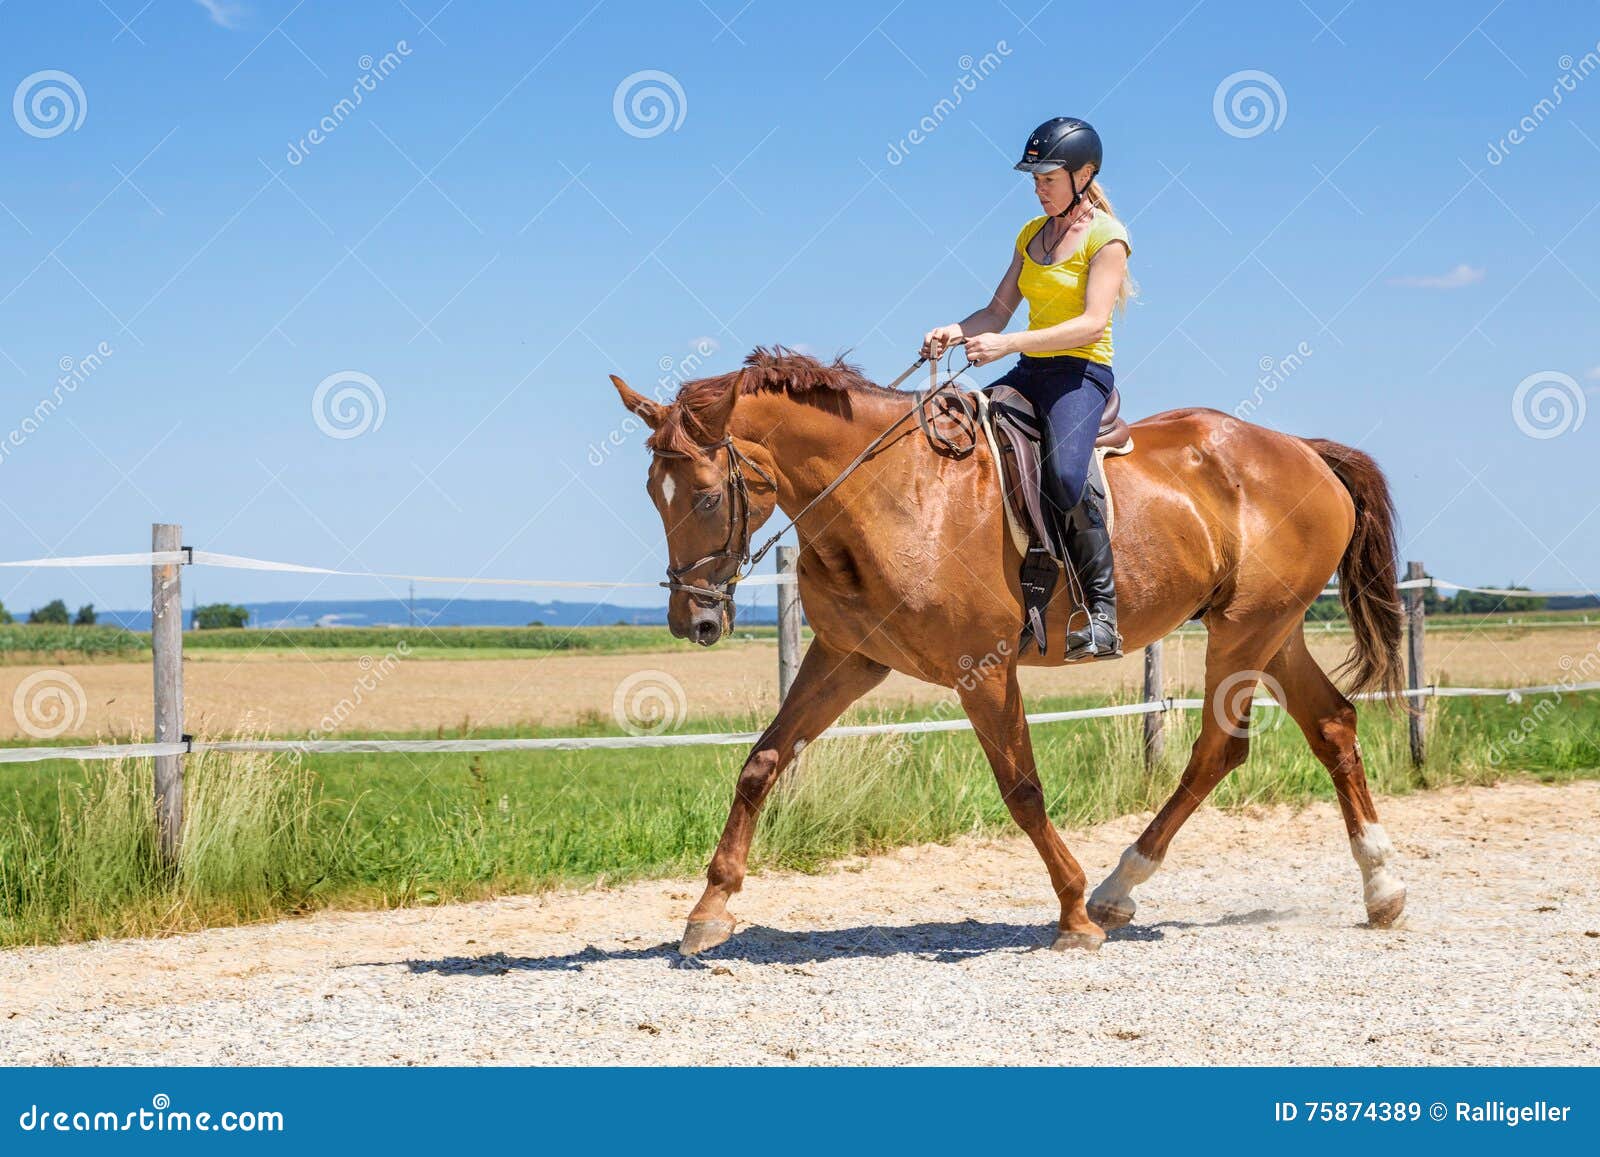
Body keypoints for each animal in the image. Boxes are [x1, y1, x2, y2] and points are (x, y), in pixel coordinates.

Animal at [610, 347, 1408, 955]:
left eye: (706, 497)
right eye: (652, 492)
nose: (692, 620)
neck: (889, 493)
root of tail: (1304, 451)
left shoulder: (984, 670)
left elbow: (1022, 789)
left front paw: (1075, 915)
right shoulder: (846, 658)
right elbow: (762, 762)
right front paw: (709, 910)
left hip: (1245, 630)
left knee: (1220, 747)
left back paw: (1116, 889)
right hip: (1273, 631)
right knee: (1331, 724)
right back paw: (1382, 888)